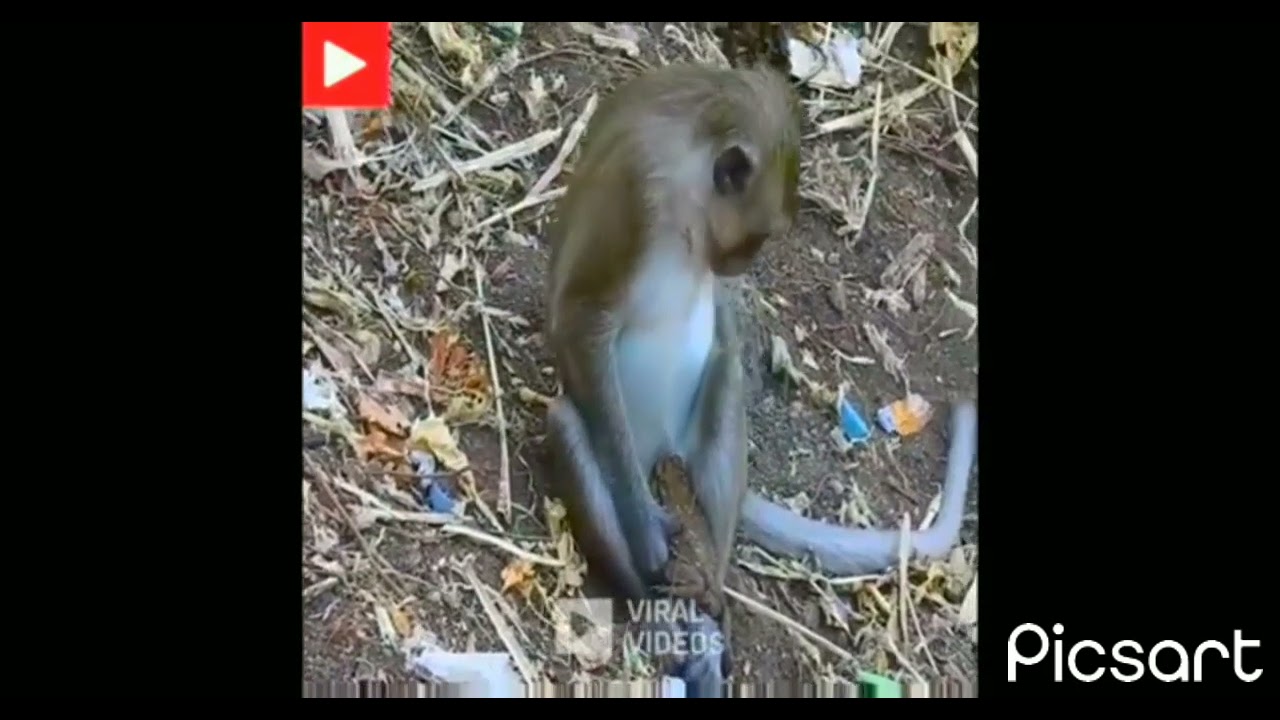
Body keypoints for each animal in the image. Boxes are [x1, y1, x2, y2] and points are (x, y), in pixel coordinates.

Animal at [543, 62, 977, 697]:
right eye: (762, 232)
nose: (745, 262)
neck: (687, 177)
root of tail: (661, 454)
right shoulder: (637, 191)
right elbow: (580, 317)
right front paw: (645, 531)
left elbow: (721, 331)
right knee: (570, 423)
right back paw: (658, 607)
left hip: (690, 453)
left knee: (723, 386)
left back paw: (707, 605)